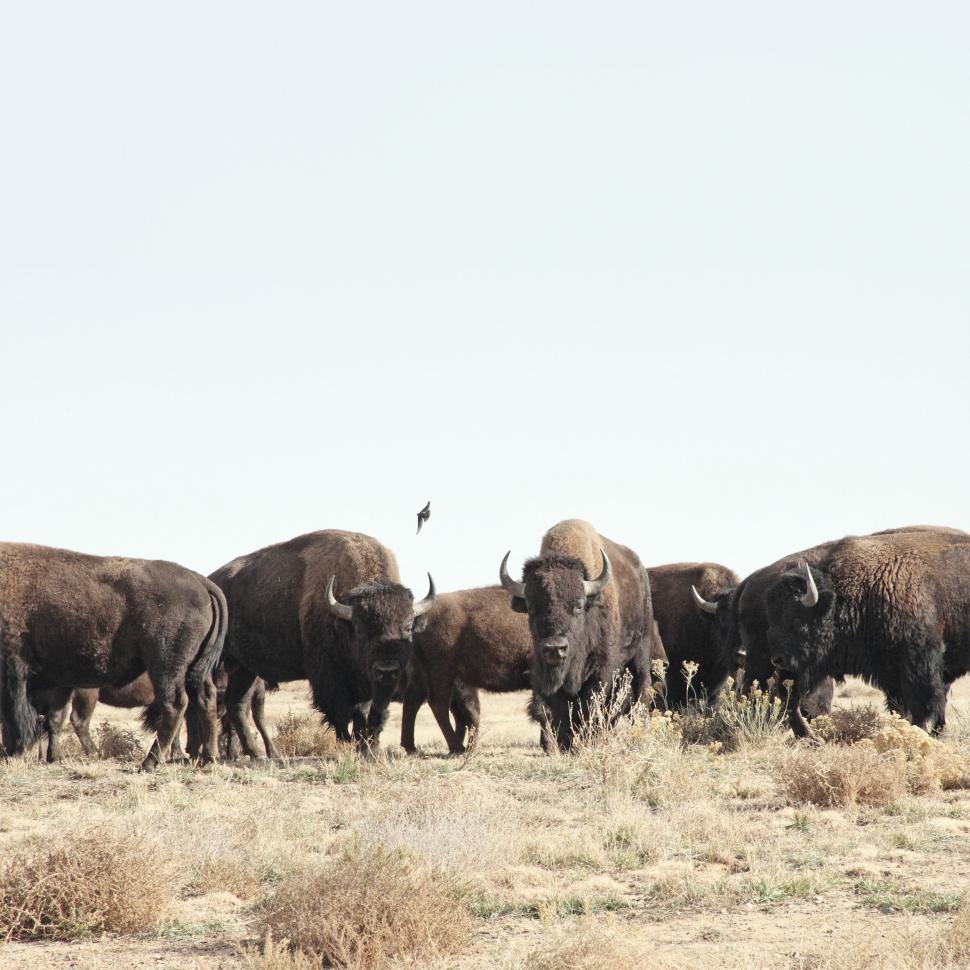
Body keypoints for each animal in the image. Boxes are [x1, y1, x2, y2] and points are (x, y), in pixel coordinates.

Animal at [0, 543, 225, 768]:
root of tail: (199, 580)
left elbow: (16, 718)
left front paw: (14, 754)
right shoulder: (58, 682)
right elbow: (53, 718)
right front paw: (52, 757)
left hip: (166, 666)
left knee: (174, 705)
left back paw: (149, 762)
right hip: (195, 669)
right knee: (205, 698)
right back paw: (208, 758)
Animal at [211, 529, 435, 755]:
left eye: (408, 628)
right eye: (360, 629)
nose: (387, 669)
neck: (343, 621)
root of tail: (213, 580)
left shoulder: (370, 686)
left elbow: (366, 713)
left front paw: (366, 749)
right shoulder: (329, 679)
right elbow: (341, 714)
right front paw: (346, 745)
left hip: (245, 669)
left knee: (237, 705)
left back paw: (256, 754)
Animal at [406, 586, 531, 753]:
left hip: (426, 674)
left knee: (414, 700)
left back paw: (411, 747)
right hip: (442, 673)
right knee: (438, 704)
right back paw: (458, 748)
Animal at [500, 519, 661, 750]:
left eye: (578, 605)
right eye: (531, 607)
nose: (555, 648)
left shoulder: (602, 670)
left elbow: (591, 704)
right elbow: (560, 709)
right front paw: (565, 743)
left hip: (640, 654)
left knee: (640, 691)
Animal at [739, 525, 970, 737]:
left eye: (795, 618)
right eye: (772, 618)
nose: (778, 659)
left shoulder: (917, 662)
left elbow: (922, 701)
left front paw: (920, 731)